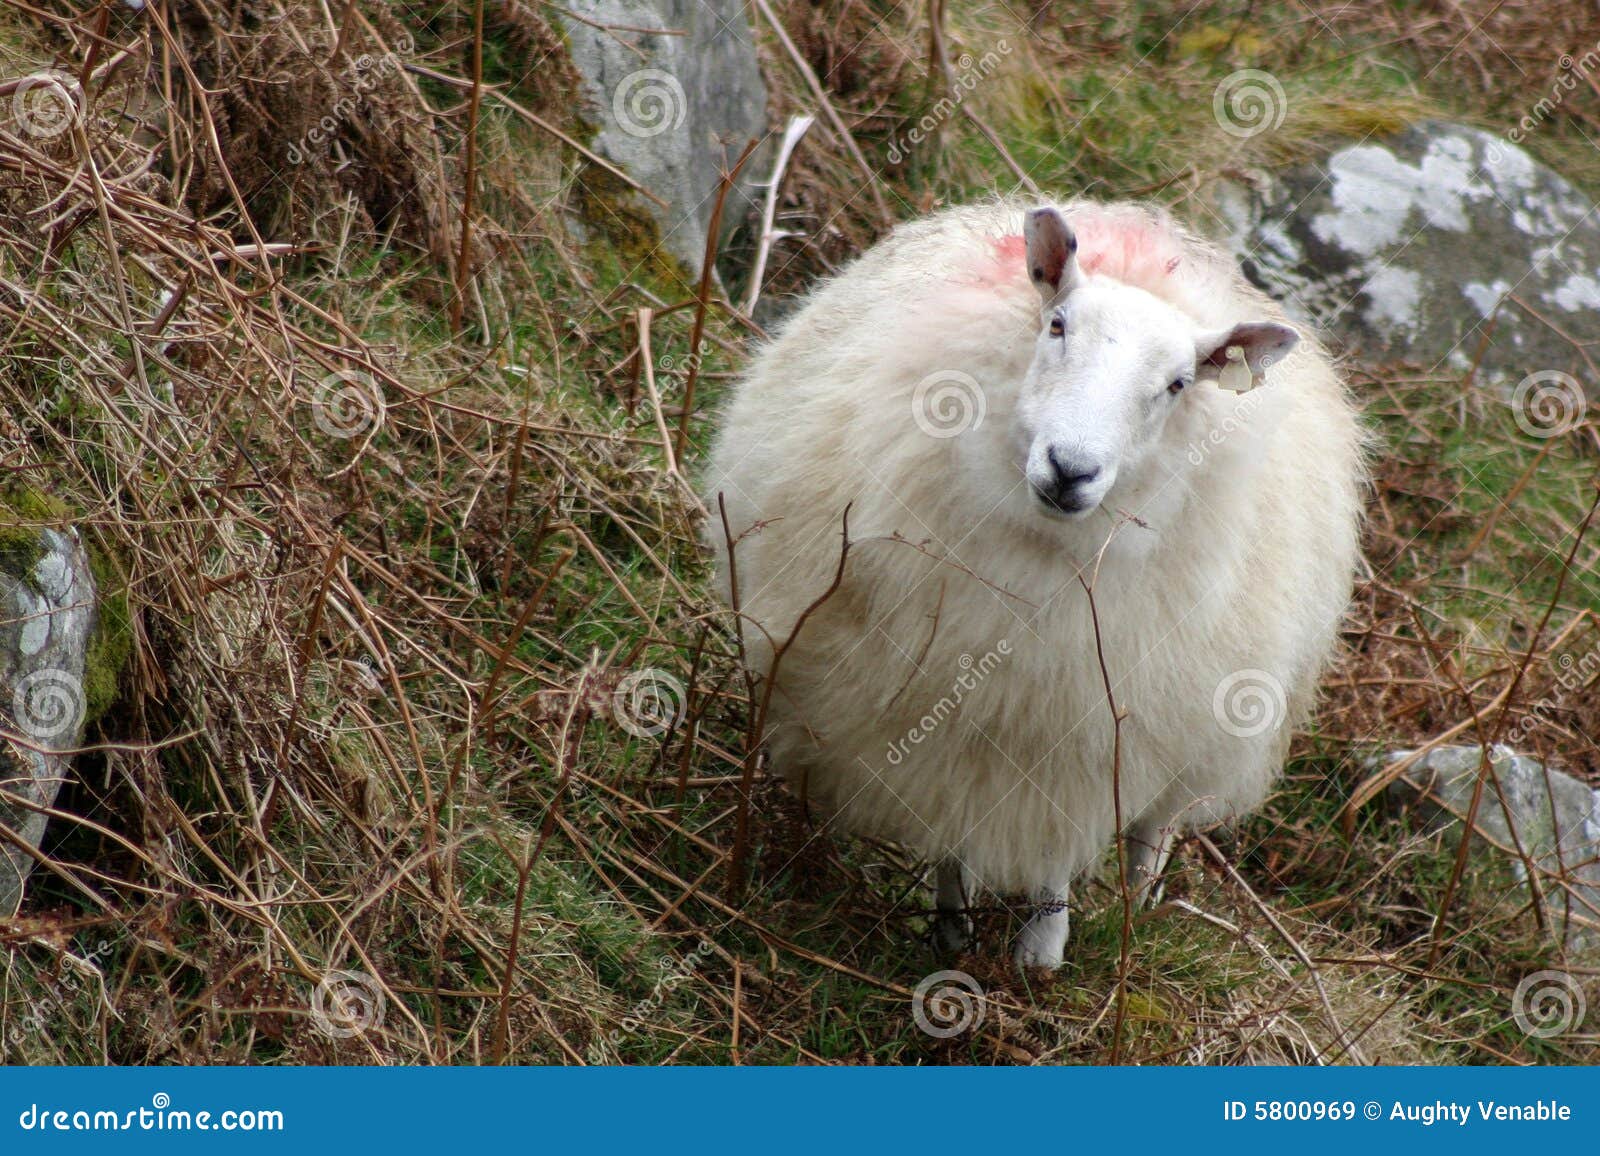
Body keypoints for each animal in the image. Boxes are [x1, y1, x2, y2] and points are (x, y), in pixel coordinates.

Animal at [703, 198, 1365, 969]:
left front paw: (1040, 958)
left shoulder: (1080, 734)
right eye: (1057, 326)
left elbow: (1056, 852)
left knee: (1155, 828)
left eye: (1178, 384)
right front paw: (951, 935)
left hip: (1203, 723)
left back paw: (1137, 910)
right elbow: (952, 828)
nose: (1070, 468)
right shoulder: (944, 721)